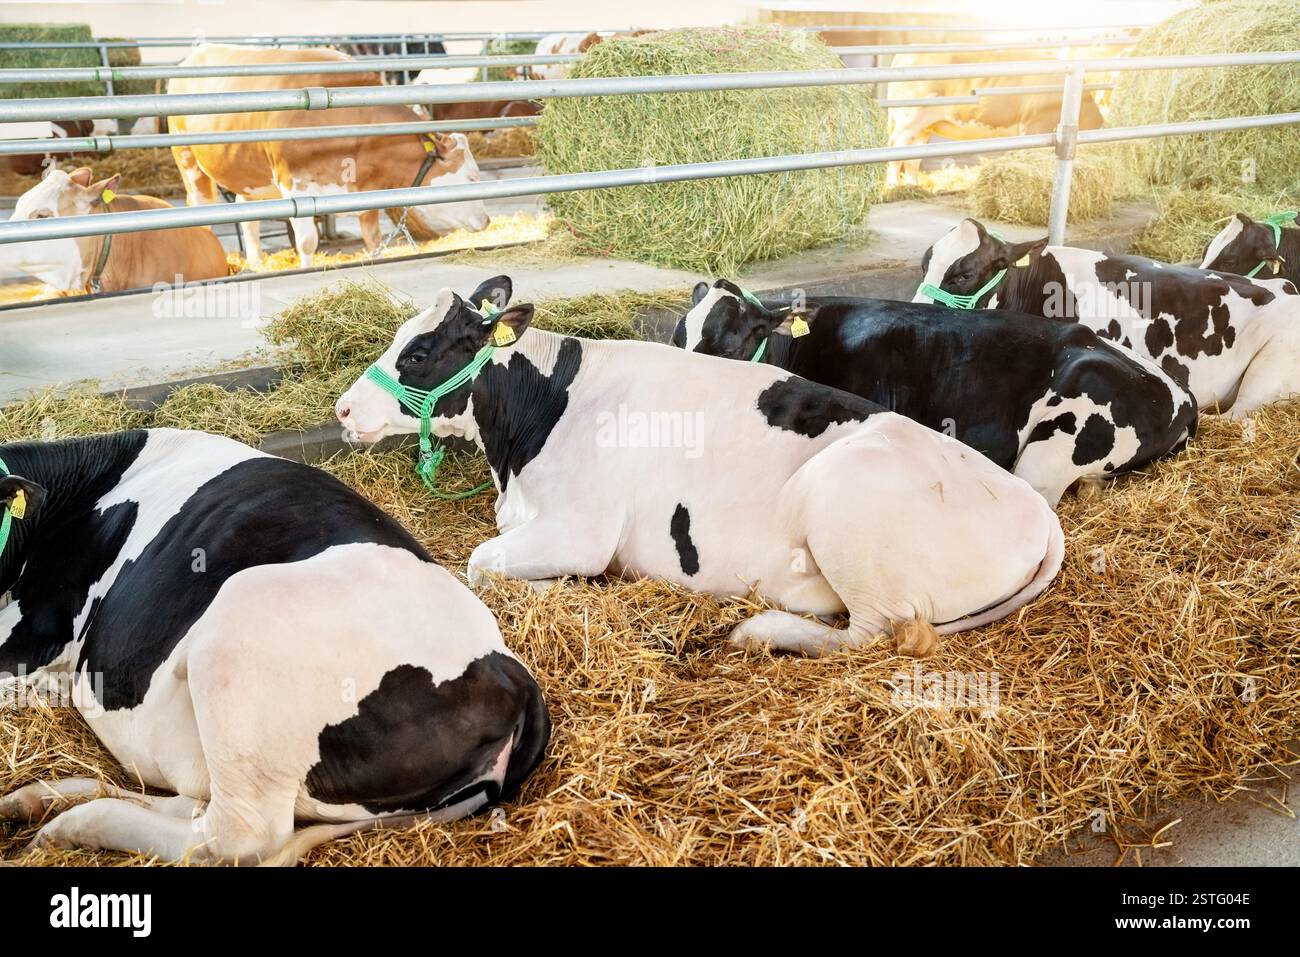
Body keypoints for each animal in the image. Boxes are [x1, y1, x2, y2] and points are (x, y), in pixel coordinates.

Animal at [0, 426, 549, 864]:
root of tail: (515, 677)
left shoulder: (36, 628)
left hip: (236, 627)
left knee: (234, 837)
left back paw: (70, 823)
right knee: (195, 803)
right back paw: (37, 801)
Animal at [167, 45, 490, 269]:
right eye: (472, 177)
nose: (487, 220)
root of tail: (198, 52)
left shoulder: (364, 191)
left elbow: (372, 237)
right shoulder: (294, 185)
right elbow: (307, 241)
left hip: (250, 176)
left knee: (248, 215)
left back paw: (257, 263)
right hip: (189, 163)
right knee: (201, 208)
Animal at [334, 276, 1065, 659]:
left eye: (419, 352)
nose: (342, 408)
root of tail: (1037, 510)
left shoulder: (582, 528)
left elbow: (480, 563)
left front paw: (561, 587)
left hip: (845, 509)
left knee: (872, 634)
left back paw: (759, 628)